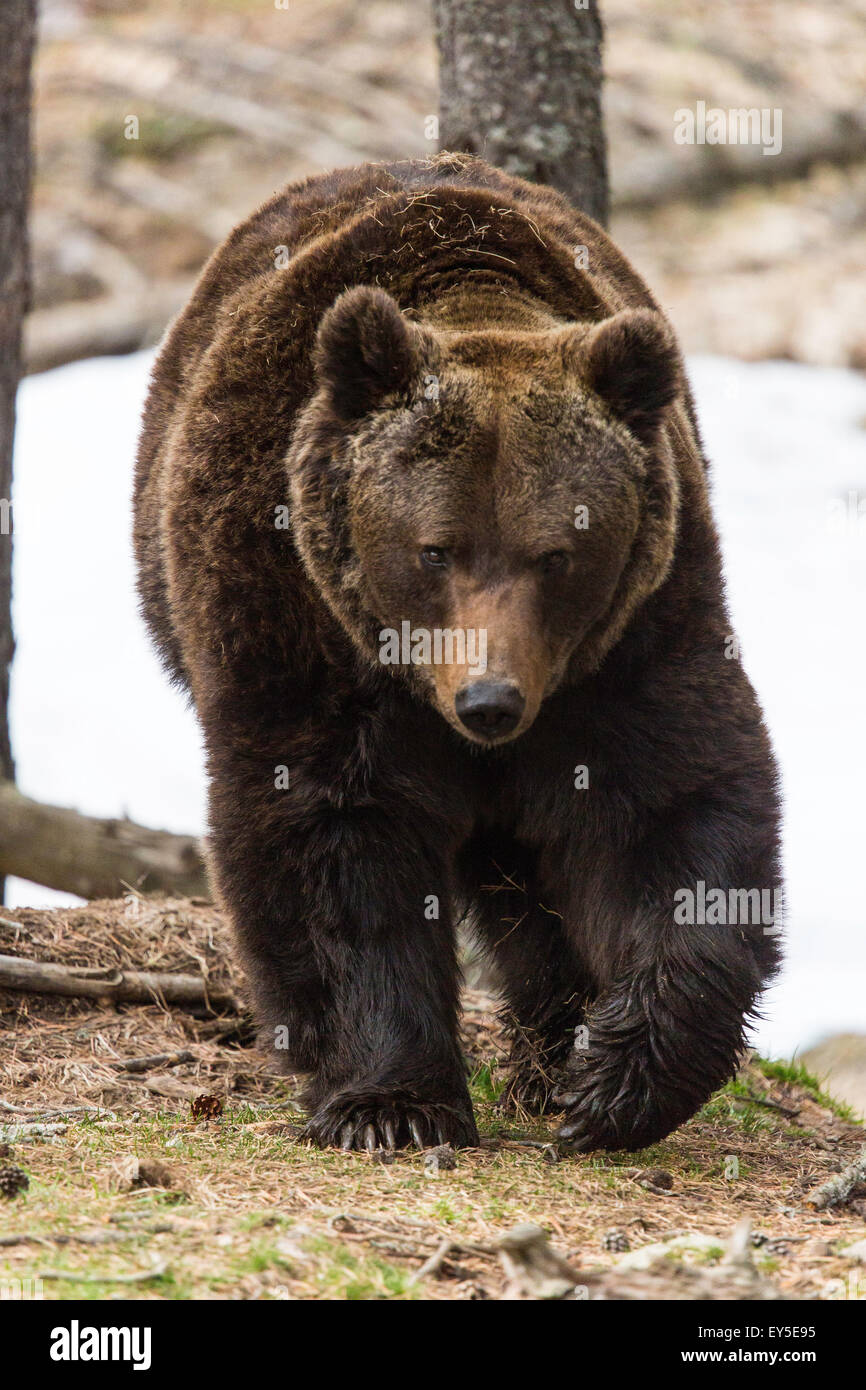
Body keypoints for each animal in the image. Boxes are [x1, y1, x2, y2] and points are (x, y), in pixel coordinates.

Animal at [134, 153, 782, 1153]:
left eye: (558, 553)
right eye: (436, 549)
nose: (490, 701)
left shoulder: (633, 637)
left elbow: (670, 814)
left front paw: (618, 1080)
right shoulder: (298, 619)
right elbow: (335, 842)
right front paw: (390, 1104)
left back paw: (550, 1055)